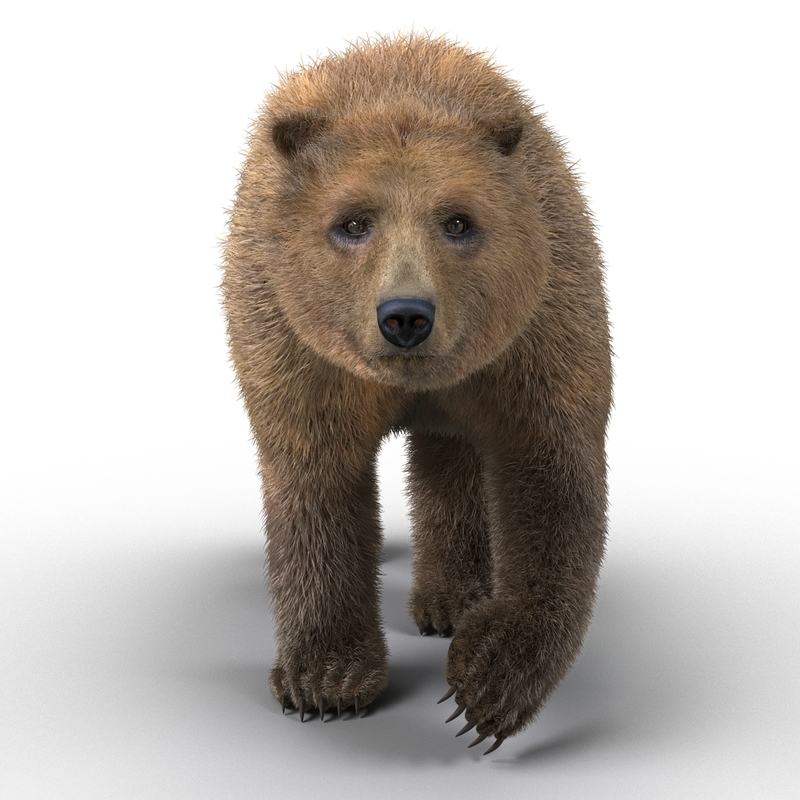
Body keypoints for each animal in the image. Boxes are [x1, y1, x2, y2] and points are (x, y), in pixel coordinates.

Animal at [222, 33, 612, 755]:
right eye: (353, 223)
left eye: (457, 221)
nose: (405, 316)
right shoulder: (294, 348)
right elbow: (317, 489)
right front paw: (326, 678)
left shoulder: (538, 331)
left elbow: (552, 478)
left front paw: (488, 685)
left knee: (452, 456)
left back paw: (451, 599)